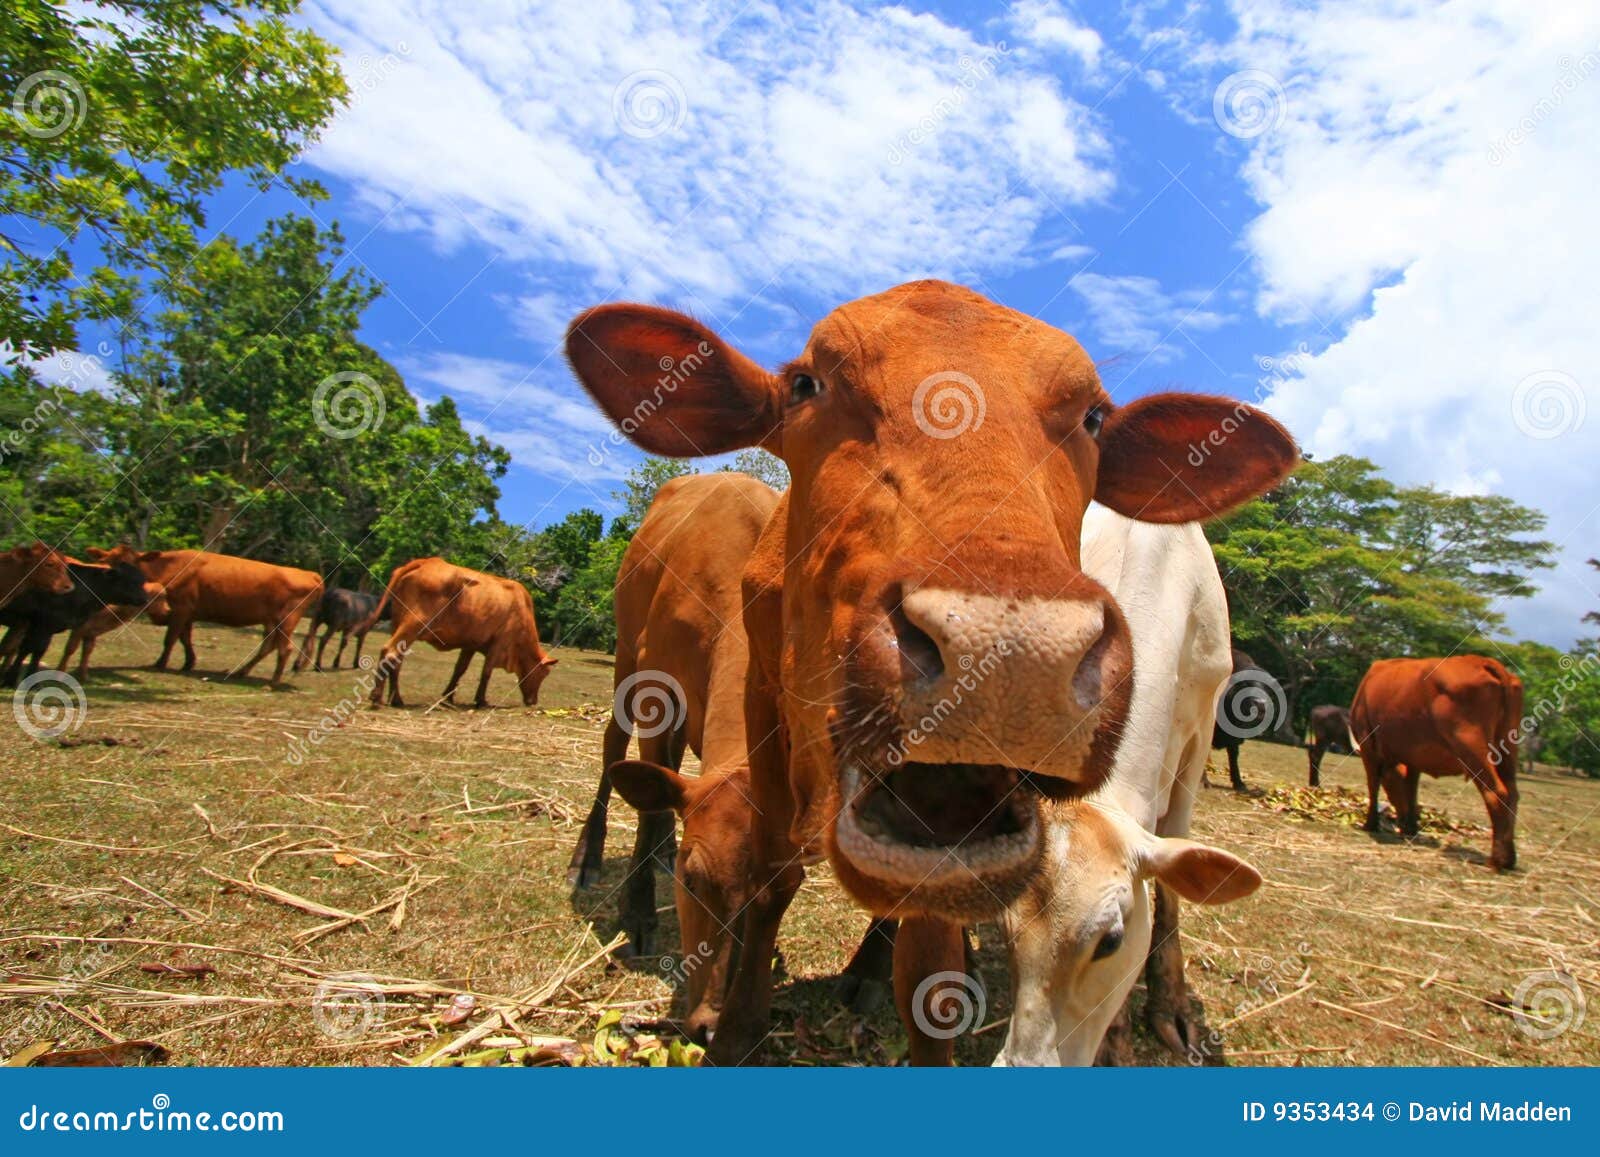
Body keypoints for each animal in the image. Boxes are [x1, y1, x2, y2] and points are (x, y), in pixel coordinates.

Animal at [0, 559, 150, 686]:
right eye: (128, 581)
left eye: (142, 582)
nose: (144, 599)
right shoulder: (43, 624)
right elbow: (30, 649)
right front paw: (17, 680)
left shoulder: (39, 625)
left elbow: (29, 650)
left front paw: (12, 679)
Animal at [87, 547, 323, 685]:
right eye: (107, 560)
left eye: (130, 564)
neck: (168, 566)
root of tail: (310, 574)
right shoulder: (188, 614)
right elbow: (184, 639)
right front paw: (189, 662)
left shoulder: (181, 609)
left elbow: (170, 639)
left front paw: (160, 664)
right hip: (272, 621)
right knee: (268, 646)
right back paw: (242, 672)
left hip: (287, 620)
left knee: (285, 648)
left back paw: (273, 681)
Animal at [364, 557, 556, 708]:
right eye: (544, 673)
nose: (533, 701)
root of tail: (426, 561)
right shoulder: (500, 643)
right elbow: (486, 672)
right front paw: (481, 701)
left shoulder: (471, 644)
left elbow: (459, 669)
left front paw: (448, 698)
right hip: (414, 624)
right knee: (390, 652)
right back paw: (377, 698)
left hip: (399, 625)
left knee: (397, 660)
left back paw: (396, 699)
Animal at [1350, 656, 1522, 870]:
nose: (1401, 818)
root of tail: (1484, 661)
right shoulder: (1413, 756)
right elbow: (1411, 789)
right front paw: (1410, 827)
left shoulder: (1368, 747)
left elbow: (1373, 786)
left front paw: (1370, 823)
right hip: (1507, 748)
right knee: (1512, 794)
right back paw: (1509, 857)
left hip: (1471, 746)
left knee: (1496, 793)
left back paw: (1497, 859)